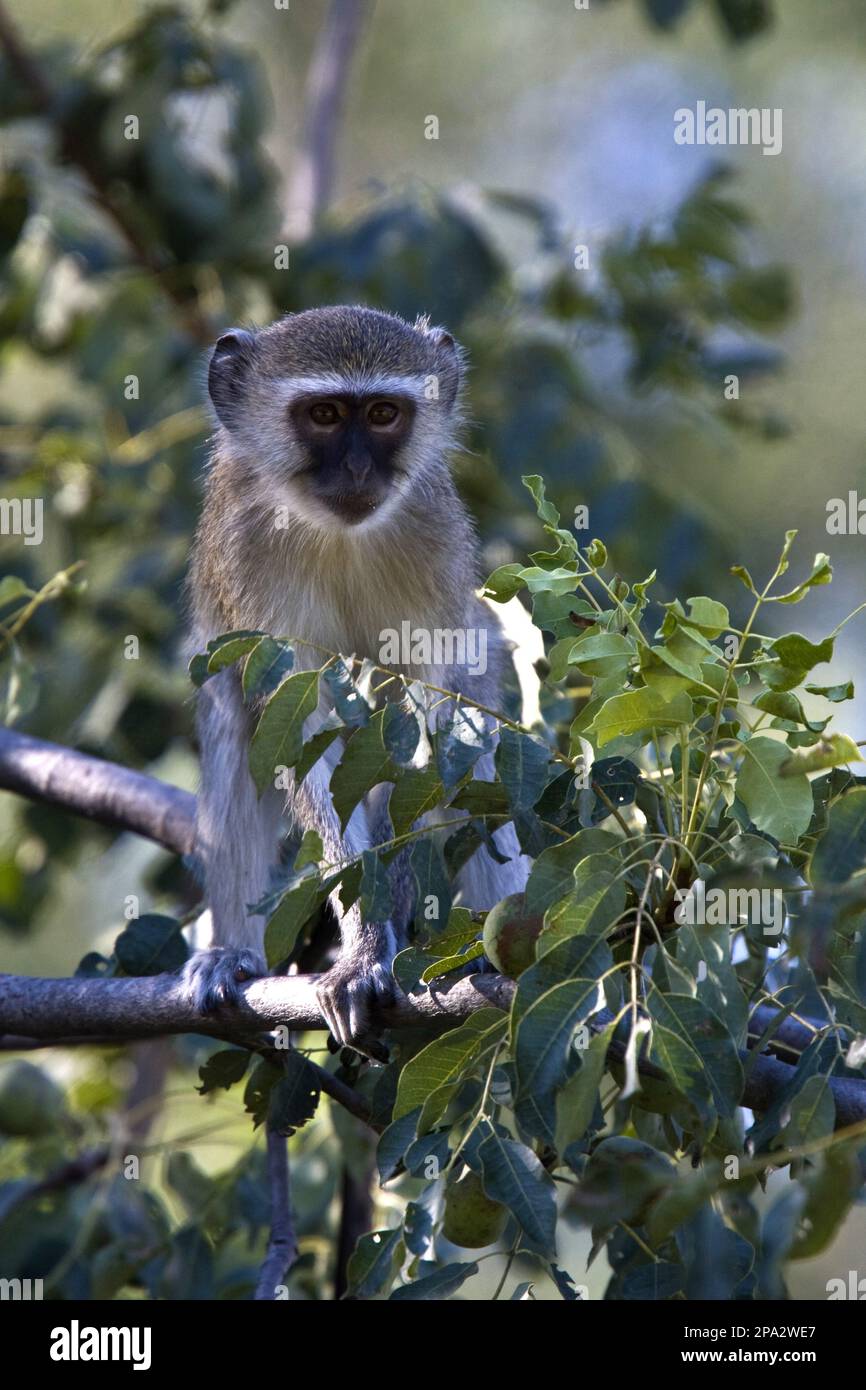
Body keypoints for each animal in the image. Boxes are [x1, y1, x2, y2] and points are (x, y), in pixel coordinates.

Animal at [181, 305, 535, 1053]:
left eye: (381, 414)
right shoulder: (245, 550)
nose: (355, 470)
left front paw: (377, 947)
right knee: (232, 722)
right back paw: (233, 953)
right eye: (322, 414)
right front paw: (366, 942)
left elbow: (427, 728)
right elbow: (291, 726)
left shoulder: (434, 538)